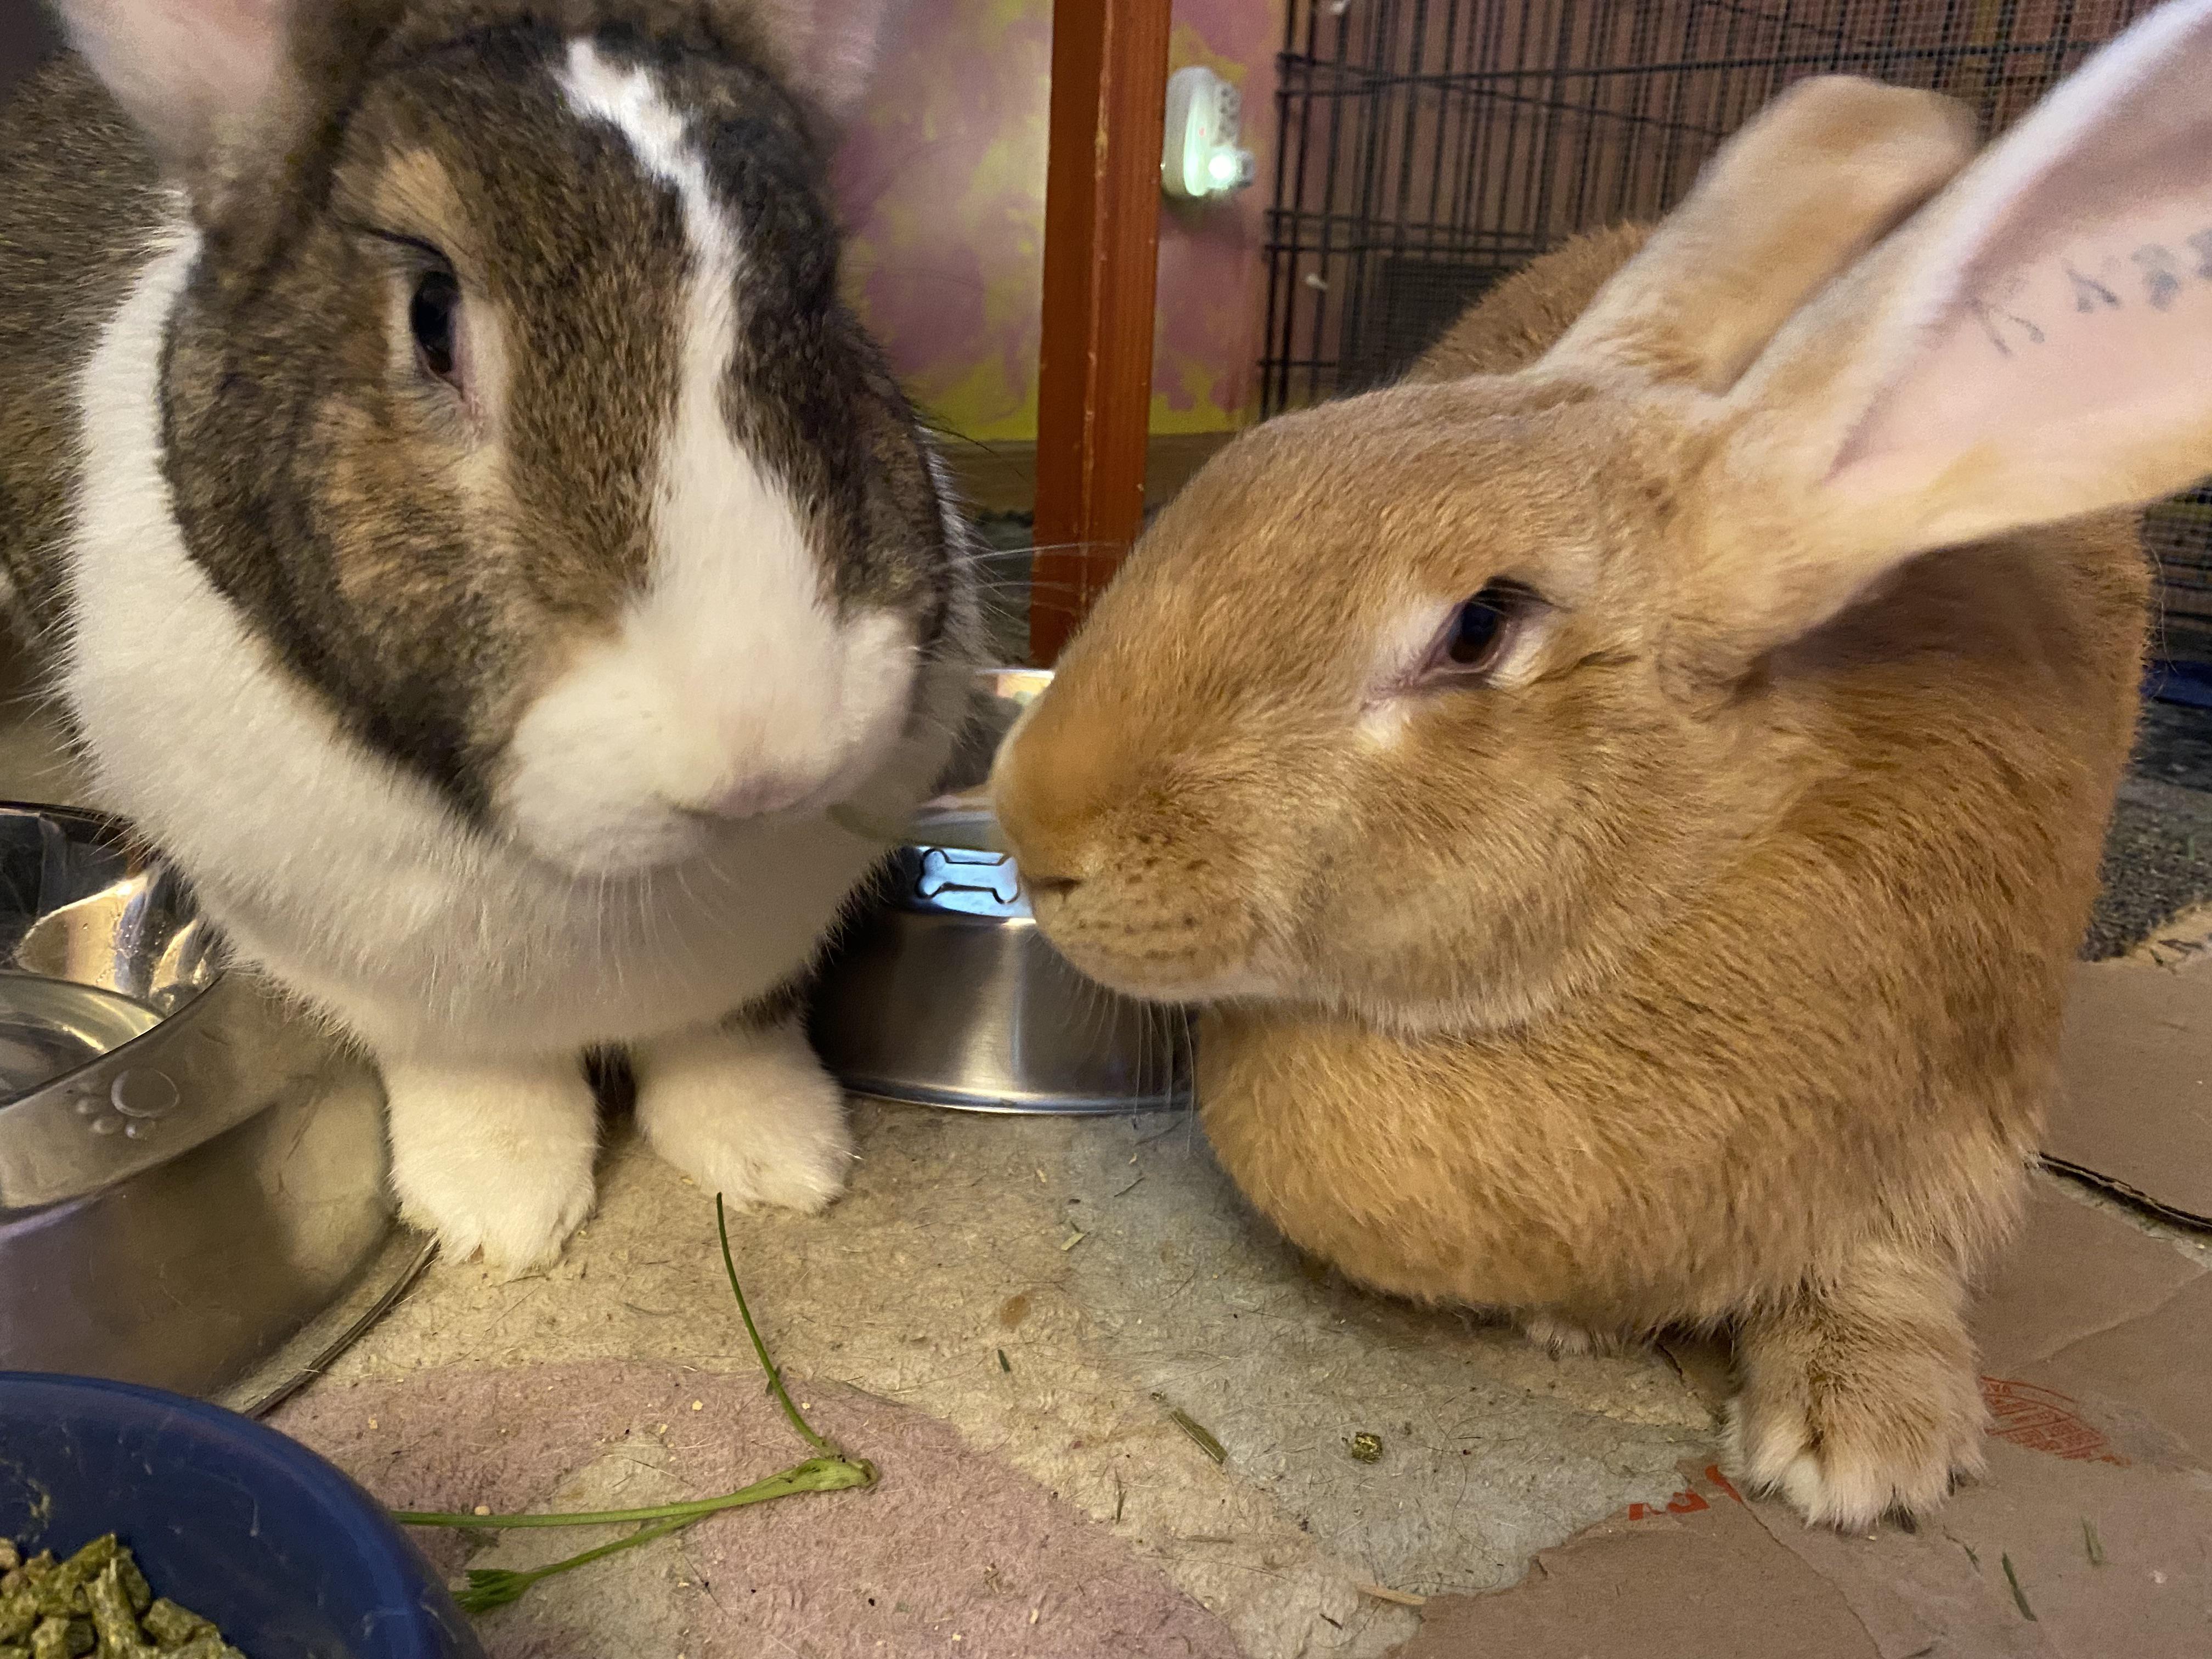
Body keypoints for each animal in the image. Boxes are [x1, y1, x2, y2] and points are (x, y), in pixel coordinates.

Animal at [0, 0, 979, 1271]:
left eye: (822, 292)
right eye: (429, 314)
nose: (764, 759)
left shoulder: (762, 949)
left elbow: (732, 1032)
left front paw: (778, 1160)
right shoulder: (380, 973)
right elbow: (478, 1069)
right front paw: (501, 1214)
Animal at [993, 0, 2212, 1531]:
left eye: (1478, 630)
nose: (1038, 827)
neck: (1680, 883)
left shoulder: (1963, 1110)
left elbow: (1890, 1261)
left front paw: (1865, 1449)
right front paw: (1574, 1324)